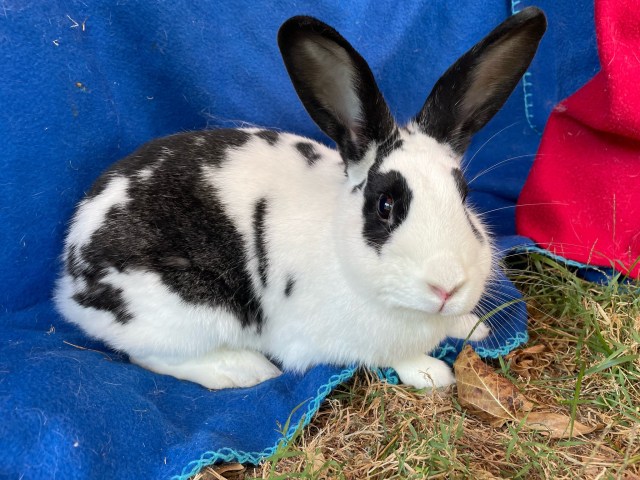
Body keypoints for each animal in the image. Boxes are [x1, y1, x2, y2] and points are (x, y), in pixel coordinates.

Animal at [54, 8, 546, 390]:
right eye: (384, 206)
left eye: (464, 196)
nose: (446, 287)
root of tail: (70, 280)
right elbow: (392, 357)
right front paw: (431, 373)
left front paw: (473, 324)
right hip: (187, 313)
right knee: (150, 356)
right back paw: (245, 371)